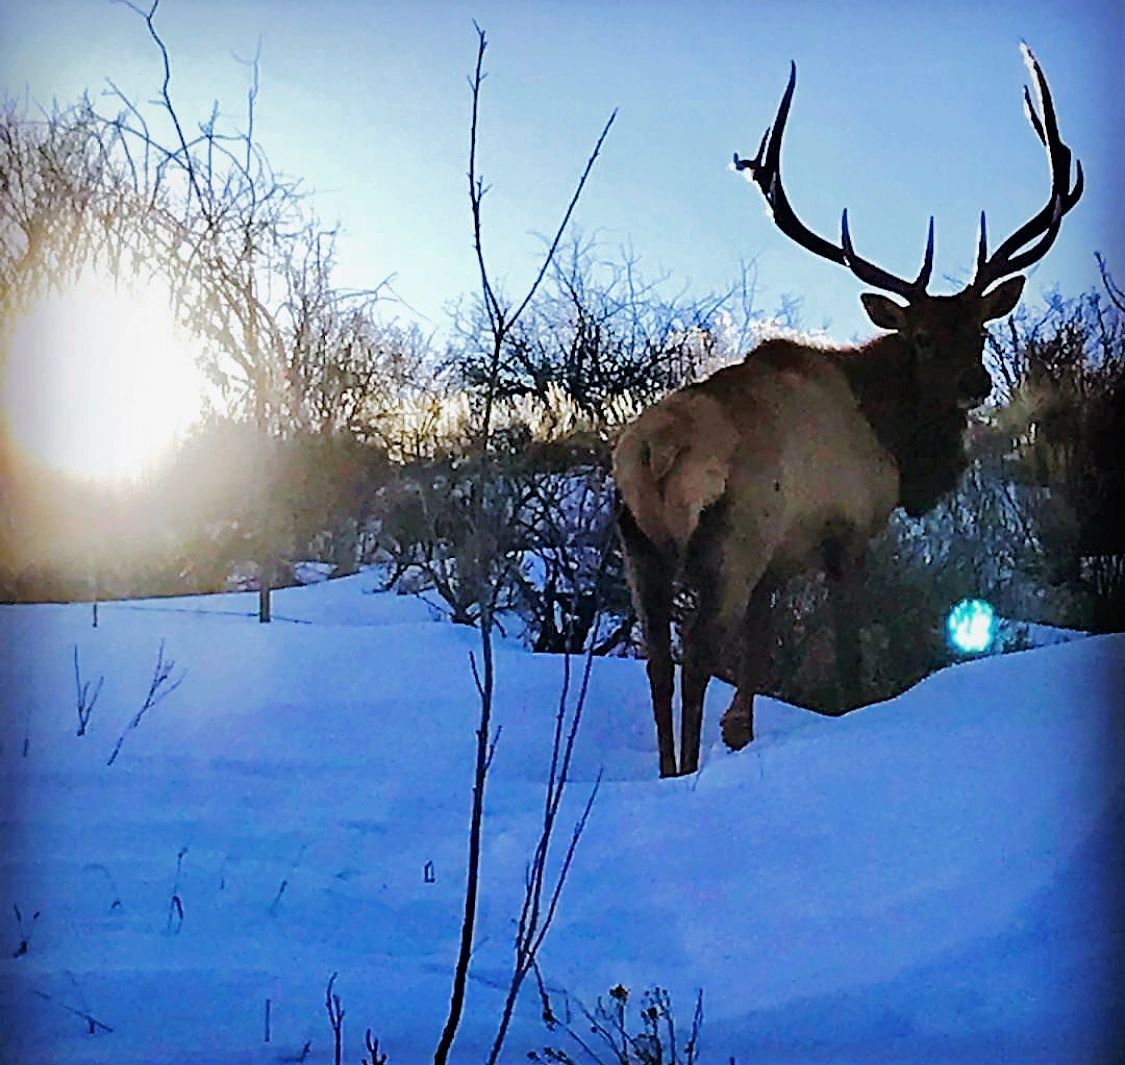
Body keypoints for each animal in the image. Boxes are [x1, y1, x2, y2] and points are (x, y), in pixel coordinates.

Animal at [613, 44, 1083, 778]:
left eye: (979, 331)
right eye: (921, 338)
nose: (975, 385)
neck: (891, 437)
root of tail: (655, 451)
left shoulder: (779, 561)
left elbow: (757, 659)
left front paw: (740, 733)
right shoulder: (844, 531)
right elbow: (847, 656)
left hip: (639, 546)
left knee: (658, 661)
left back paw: (668, 768)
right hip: (731, 536)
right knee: (695, 657)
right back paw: (684, 774)